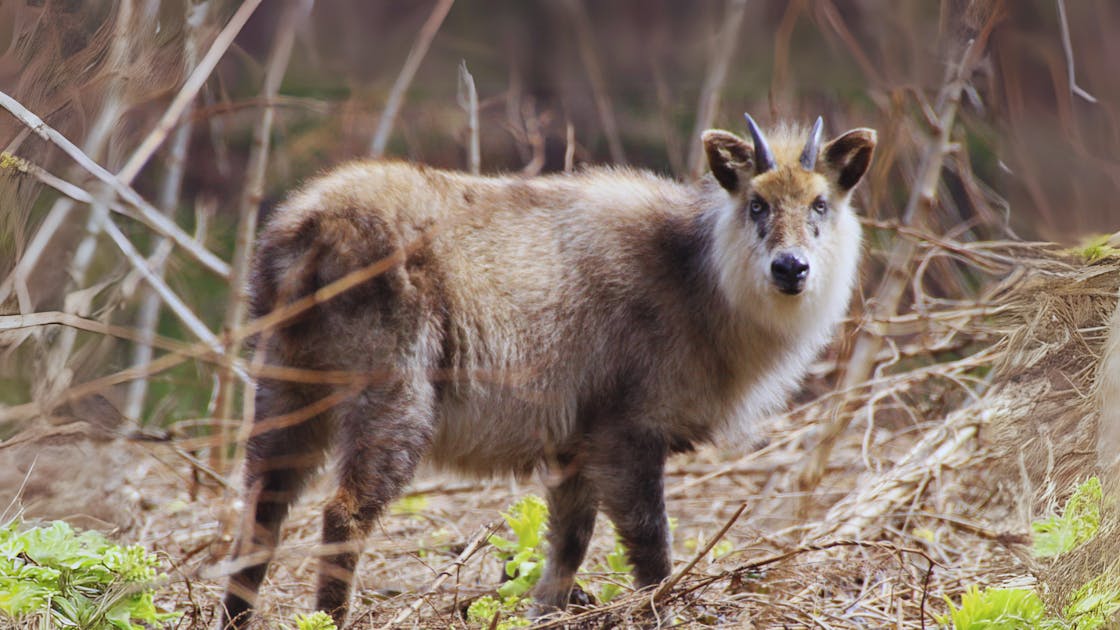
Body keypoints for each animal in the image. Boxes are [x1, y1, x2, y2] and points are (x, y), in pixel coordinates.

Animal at [221, 114, 876, 627]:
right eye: (757, 204)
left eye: (820, 204)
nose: (790, 268)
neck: (697, 277)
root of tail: (311, 231)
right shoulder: (626, 431)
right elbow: (650, 546)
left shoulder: (572, 445)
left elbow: (567, 548)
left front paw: (544, 616)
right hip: (393, 398)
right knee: (344, 513)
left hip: (285, 385)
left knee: (260, 510)